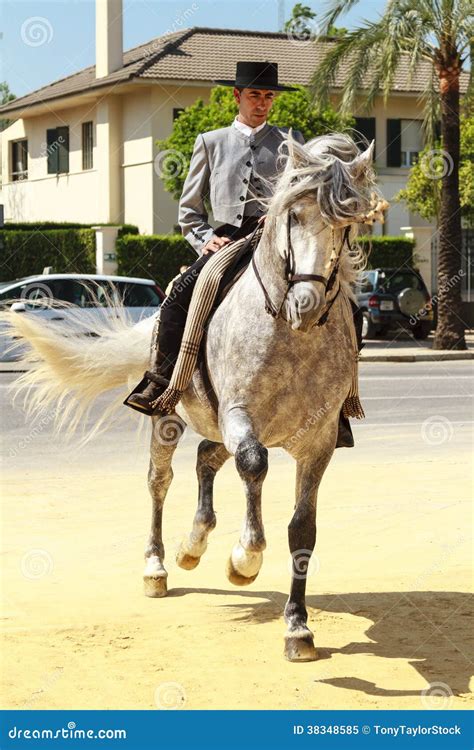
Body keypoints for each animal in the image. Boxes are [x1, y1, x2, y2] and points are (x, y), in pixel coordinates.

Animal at [2, 132, 383, 662]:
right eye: (293, 215)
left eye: (345, 226)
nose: (304, 306)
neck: (289, 334)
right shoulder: (241, 415)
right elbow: (253, 465)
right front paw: (244, 559)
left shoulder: (319, 442)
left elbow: (301, 528)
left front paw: (297, 627)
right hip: (169, 419)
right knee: (161, 481)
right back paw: (159, 566)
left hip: (217, 423)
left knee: (207, 456)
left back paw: (194, 544)